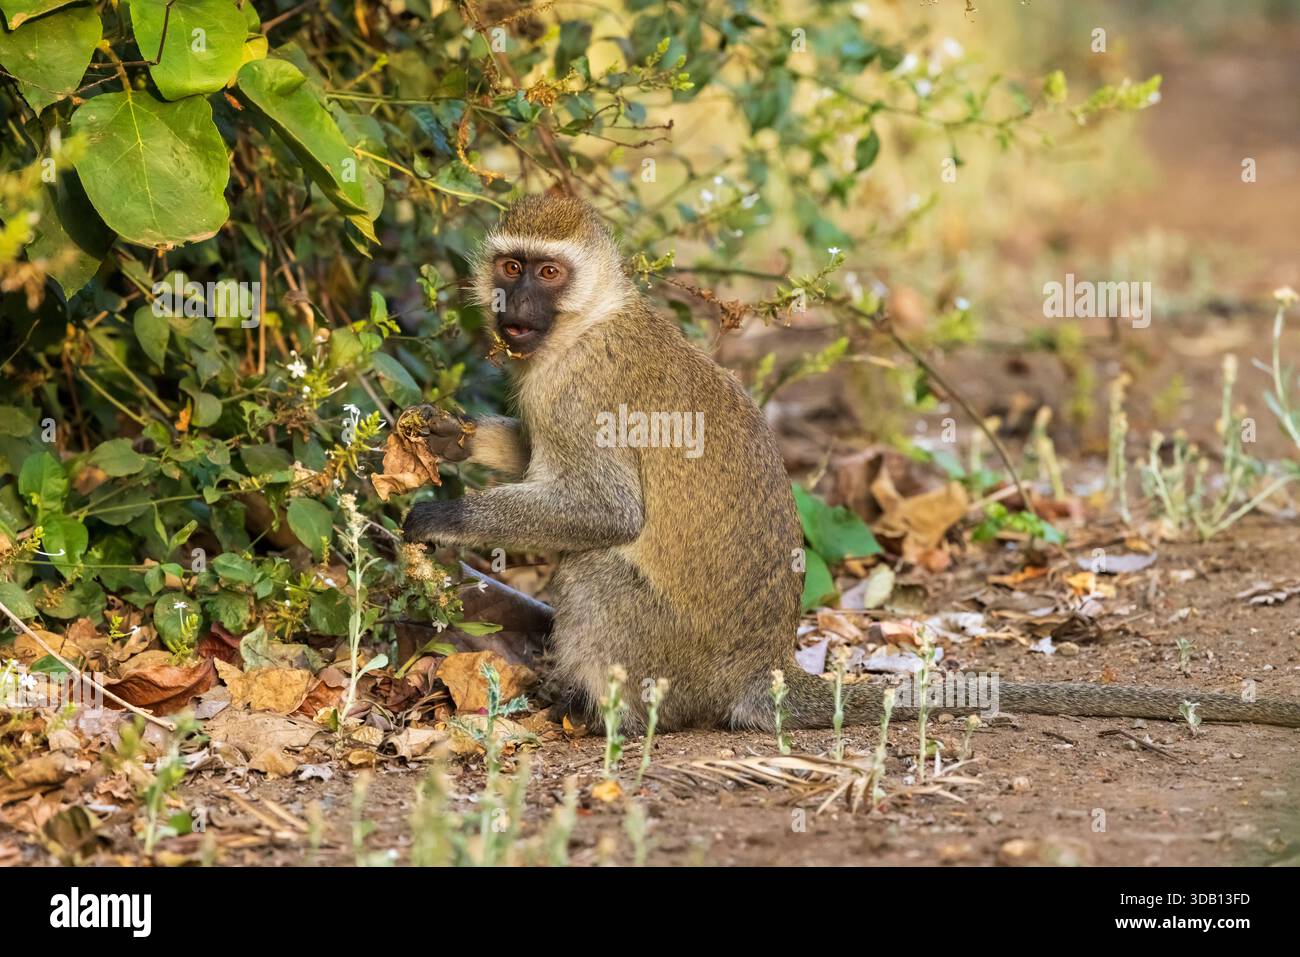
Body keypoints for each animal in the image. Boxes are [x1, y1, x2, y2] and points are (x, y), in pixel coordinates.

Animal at [403, 194, 1300, 732]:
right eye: (510, 265)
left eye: (549, 272)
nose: (514, 307)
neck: (587, 321)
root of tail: (762, 666)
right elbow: (531, 457)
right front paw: (446, 437)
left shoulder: (578, 390)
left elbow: (603, 509)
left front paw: (442, 516)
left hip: (669, 650)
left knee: (595, 569)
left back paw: (603, 714)